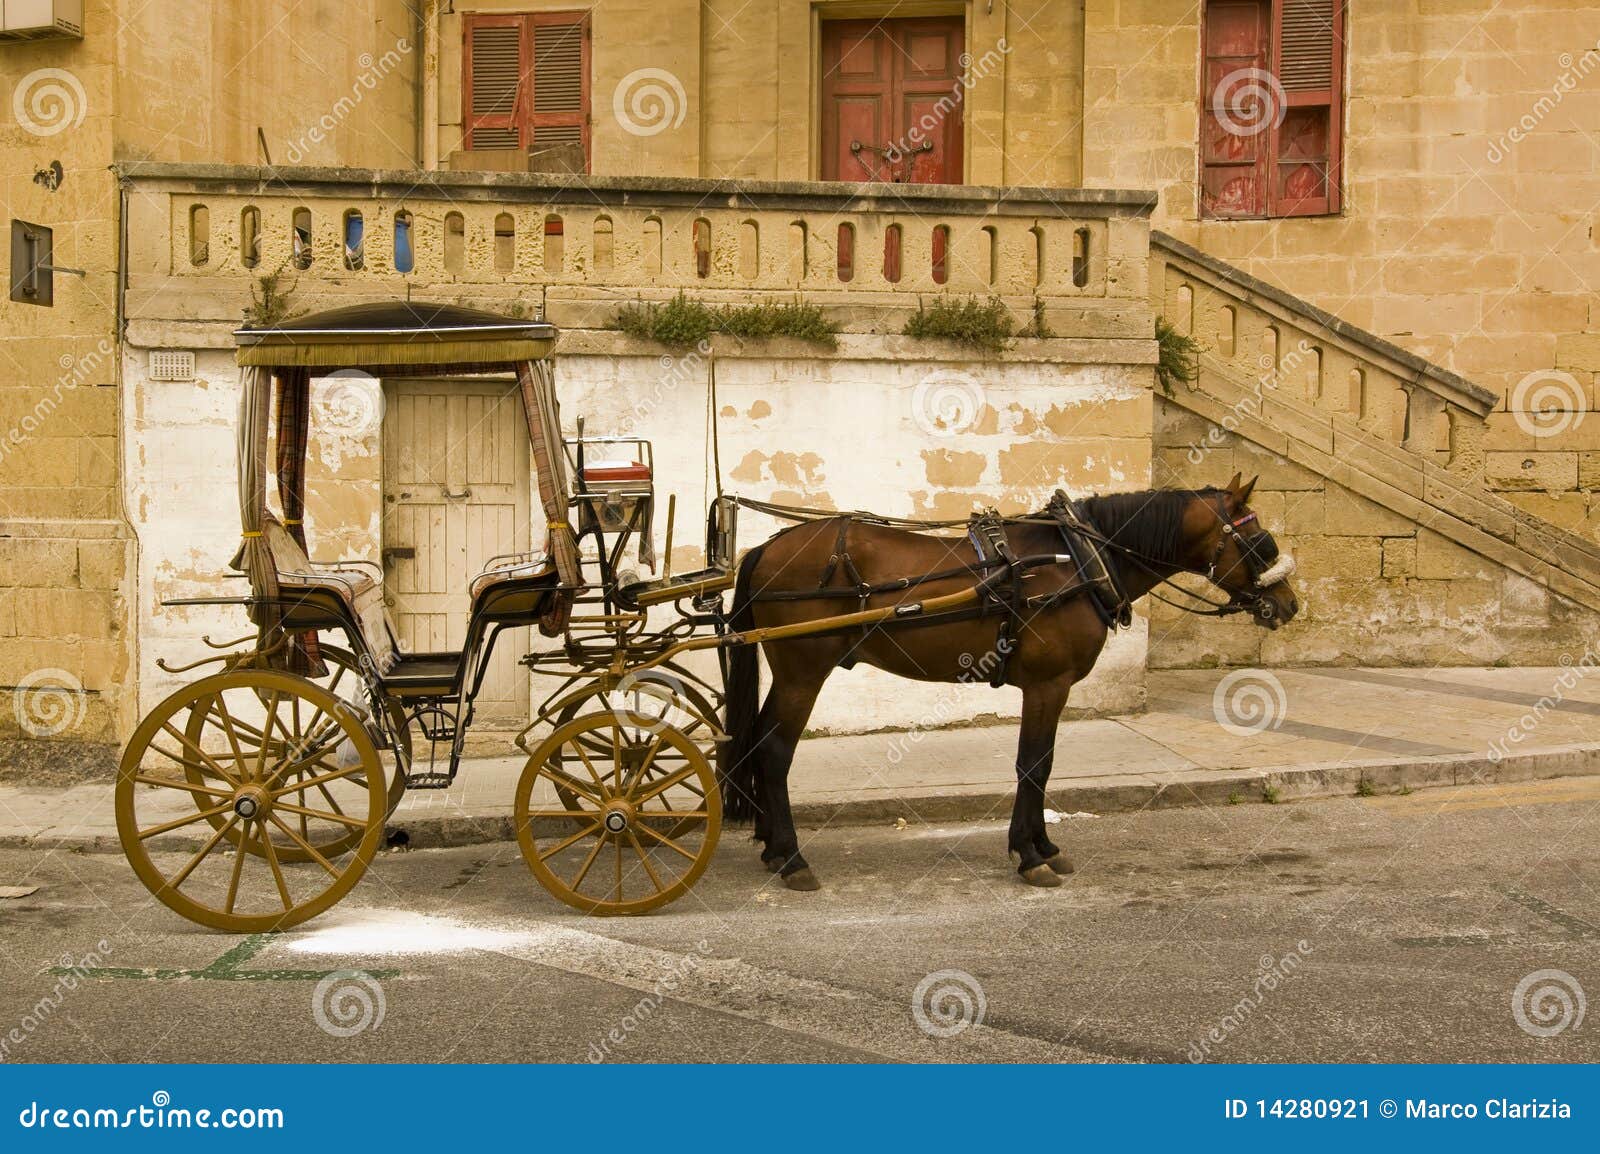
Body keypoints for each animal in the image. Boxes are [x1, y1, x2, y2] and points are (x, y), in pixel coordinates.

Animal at [718, 474, 1299, 890]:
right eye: (1260, 541)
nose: (1289, 605)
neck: (1081, 561)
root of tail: (765, 549)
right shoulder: (1048, 684)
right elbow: (1034, 765)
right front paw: (1030, 854)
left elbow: (1041, 765)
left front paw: (1043, 846)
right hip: (803, 673)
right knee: (774, 751)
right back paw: (791, 857)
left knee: (757, 744)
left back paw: (771, 844)